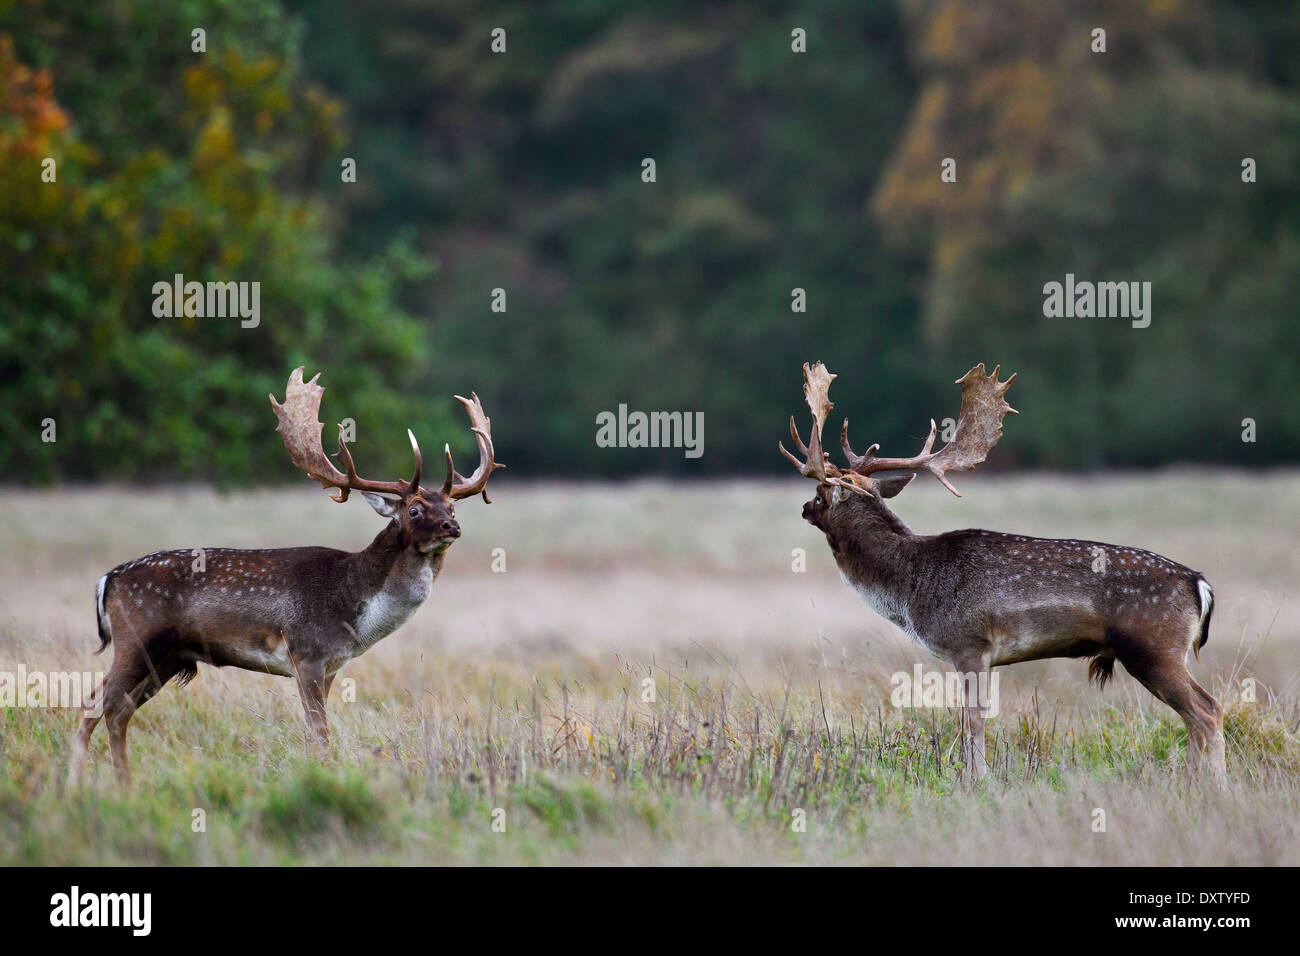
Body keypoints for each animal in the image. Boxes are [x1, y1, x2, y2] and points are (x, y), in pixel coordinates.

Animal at [69, 367, 503, 786]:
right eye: (413, 509)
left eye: (452, 507)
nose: (451, 527)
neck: (353, 607)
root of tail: (107, 581)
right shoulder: (306, 652)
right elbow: (319, 735)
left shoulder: (332, 665)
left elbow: (316, 736)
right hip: (136, 641)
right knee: (93, 704)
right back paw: (75, 785)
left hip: (167, 657)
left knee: (118, 713)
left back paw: (124, 784)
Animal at [780, 361, 1225, 781]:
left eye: (821, 491)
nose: (803, 507)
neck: (910, 586)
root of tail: (1199, 584)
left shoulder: (969, 644)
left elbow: (973, 720)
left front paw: (976, 779)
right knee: (1198, 714)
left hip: (1154, 648)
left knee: (1208, 711)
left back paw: (1212, 787)